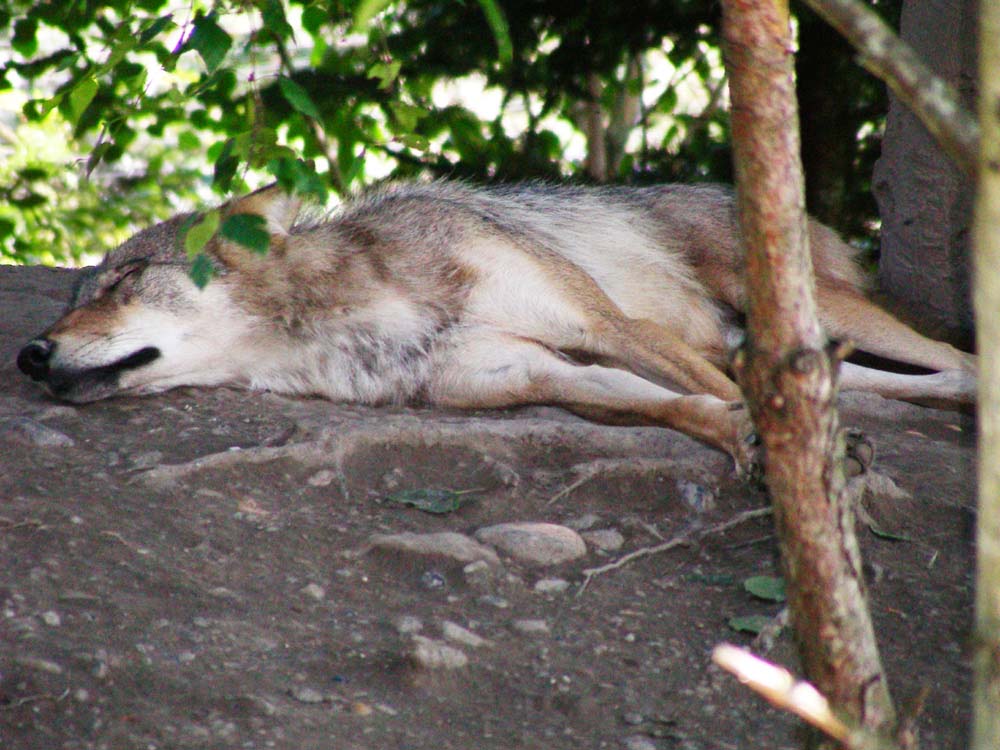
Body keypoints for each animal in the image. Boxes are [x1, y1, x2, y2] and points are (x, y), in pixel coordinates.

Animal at [17, 182, 975, 470]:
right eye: (74, 296)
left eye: (124, 280)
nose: (30, 353)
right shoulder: (532, 373)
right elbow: (676, 406)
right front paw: (738, 436)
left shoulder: (603, 324)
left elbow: (695, 387)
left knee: (966, 359)